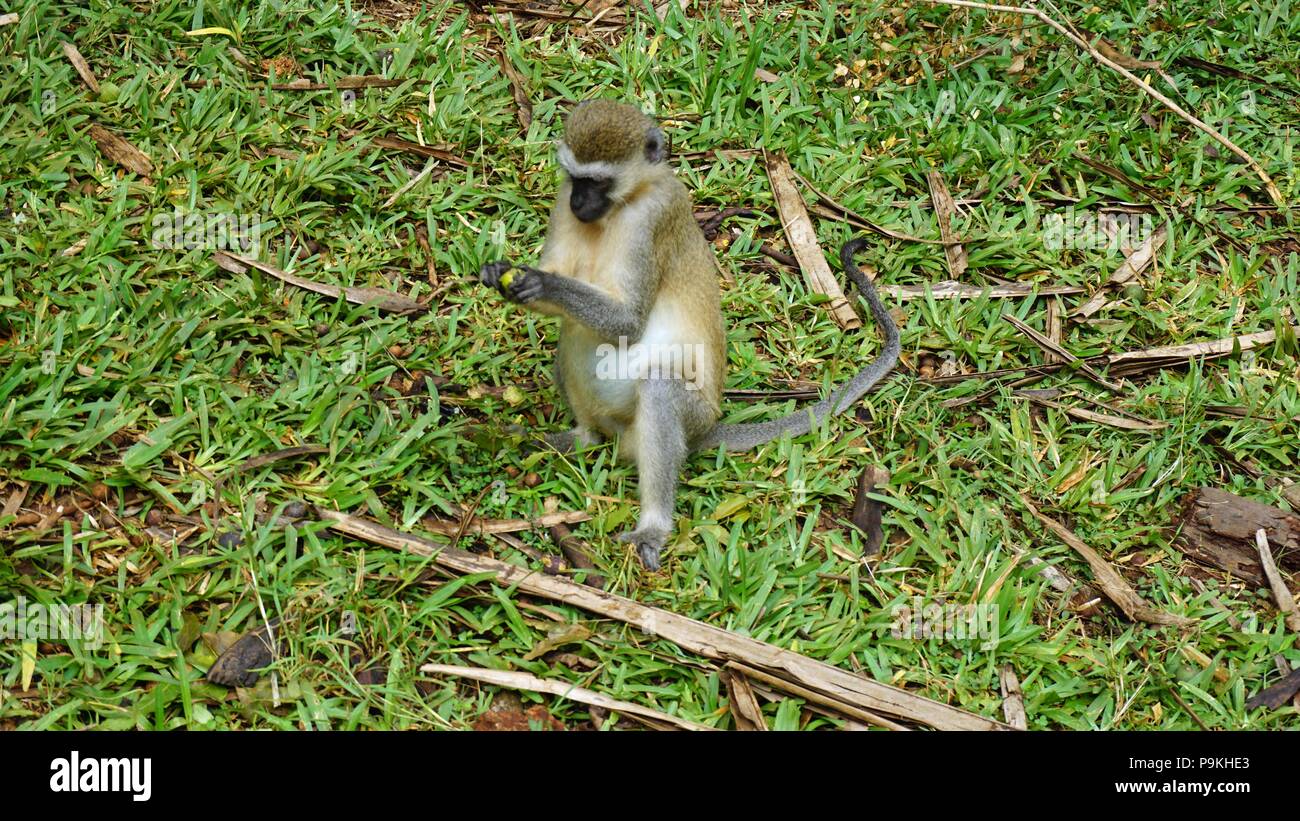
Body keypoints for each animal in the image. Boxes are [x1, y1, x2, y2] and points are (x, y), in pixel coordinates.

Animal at [480, 99, 900, 570]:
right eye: (575, 179)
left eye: (599, 182)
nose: (579, 203)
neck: (624, 204)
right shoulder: (560, 203)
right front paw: (500, 274)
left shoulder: (653, 218)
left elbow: (627, 323)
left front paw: (542, 283)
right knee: (574, 338)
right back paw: (575, 439)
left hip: (692, 416)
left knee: (659, 386)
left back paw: (653, 525)